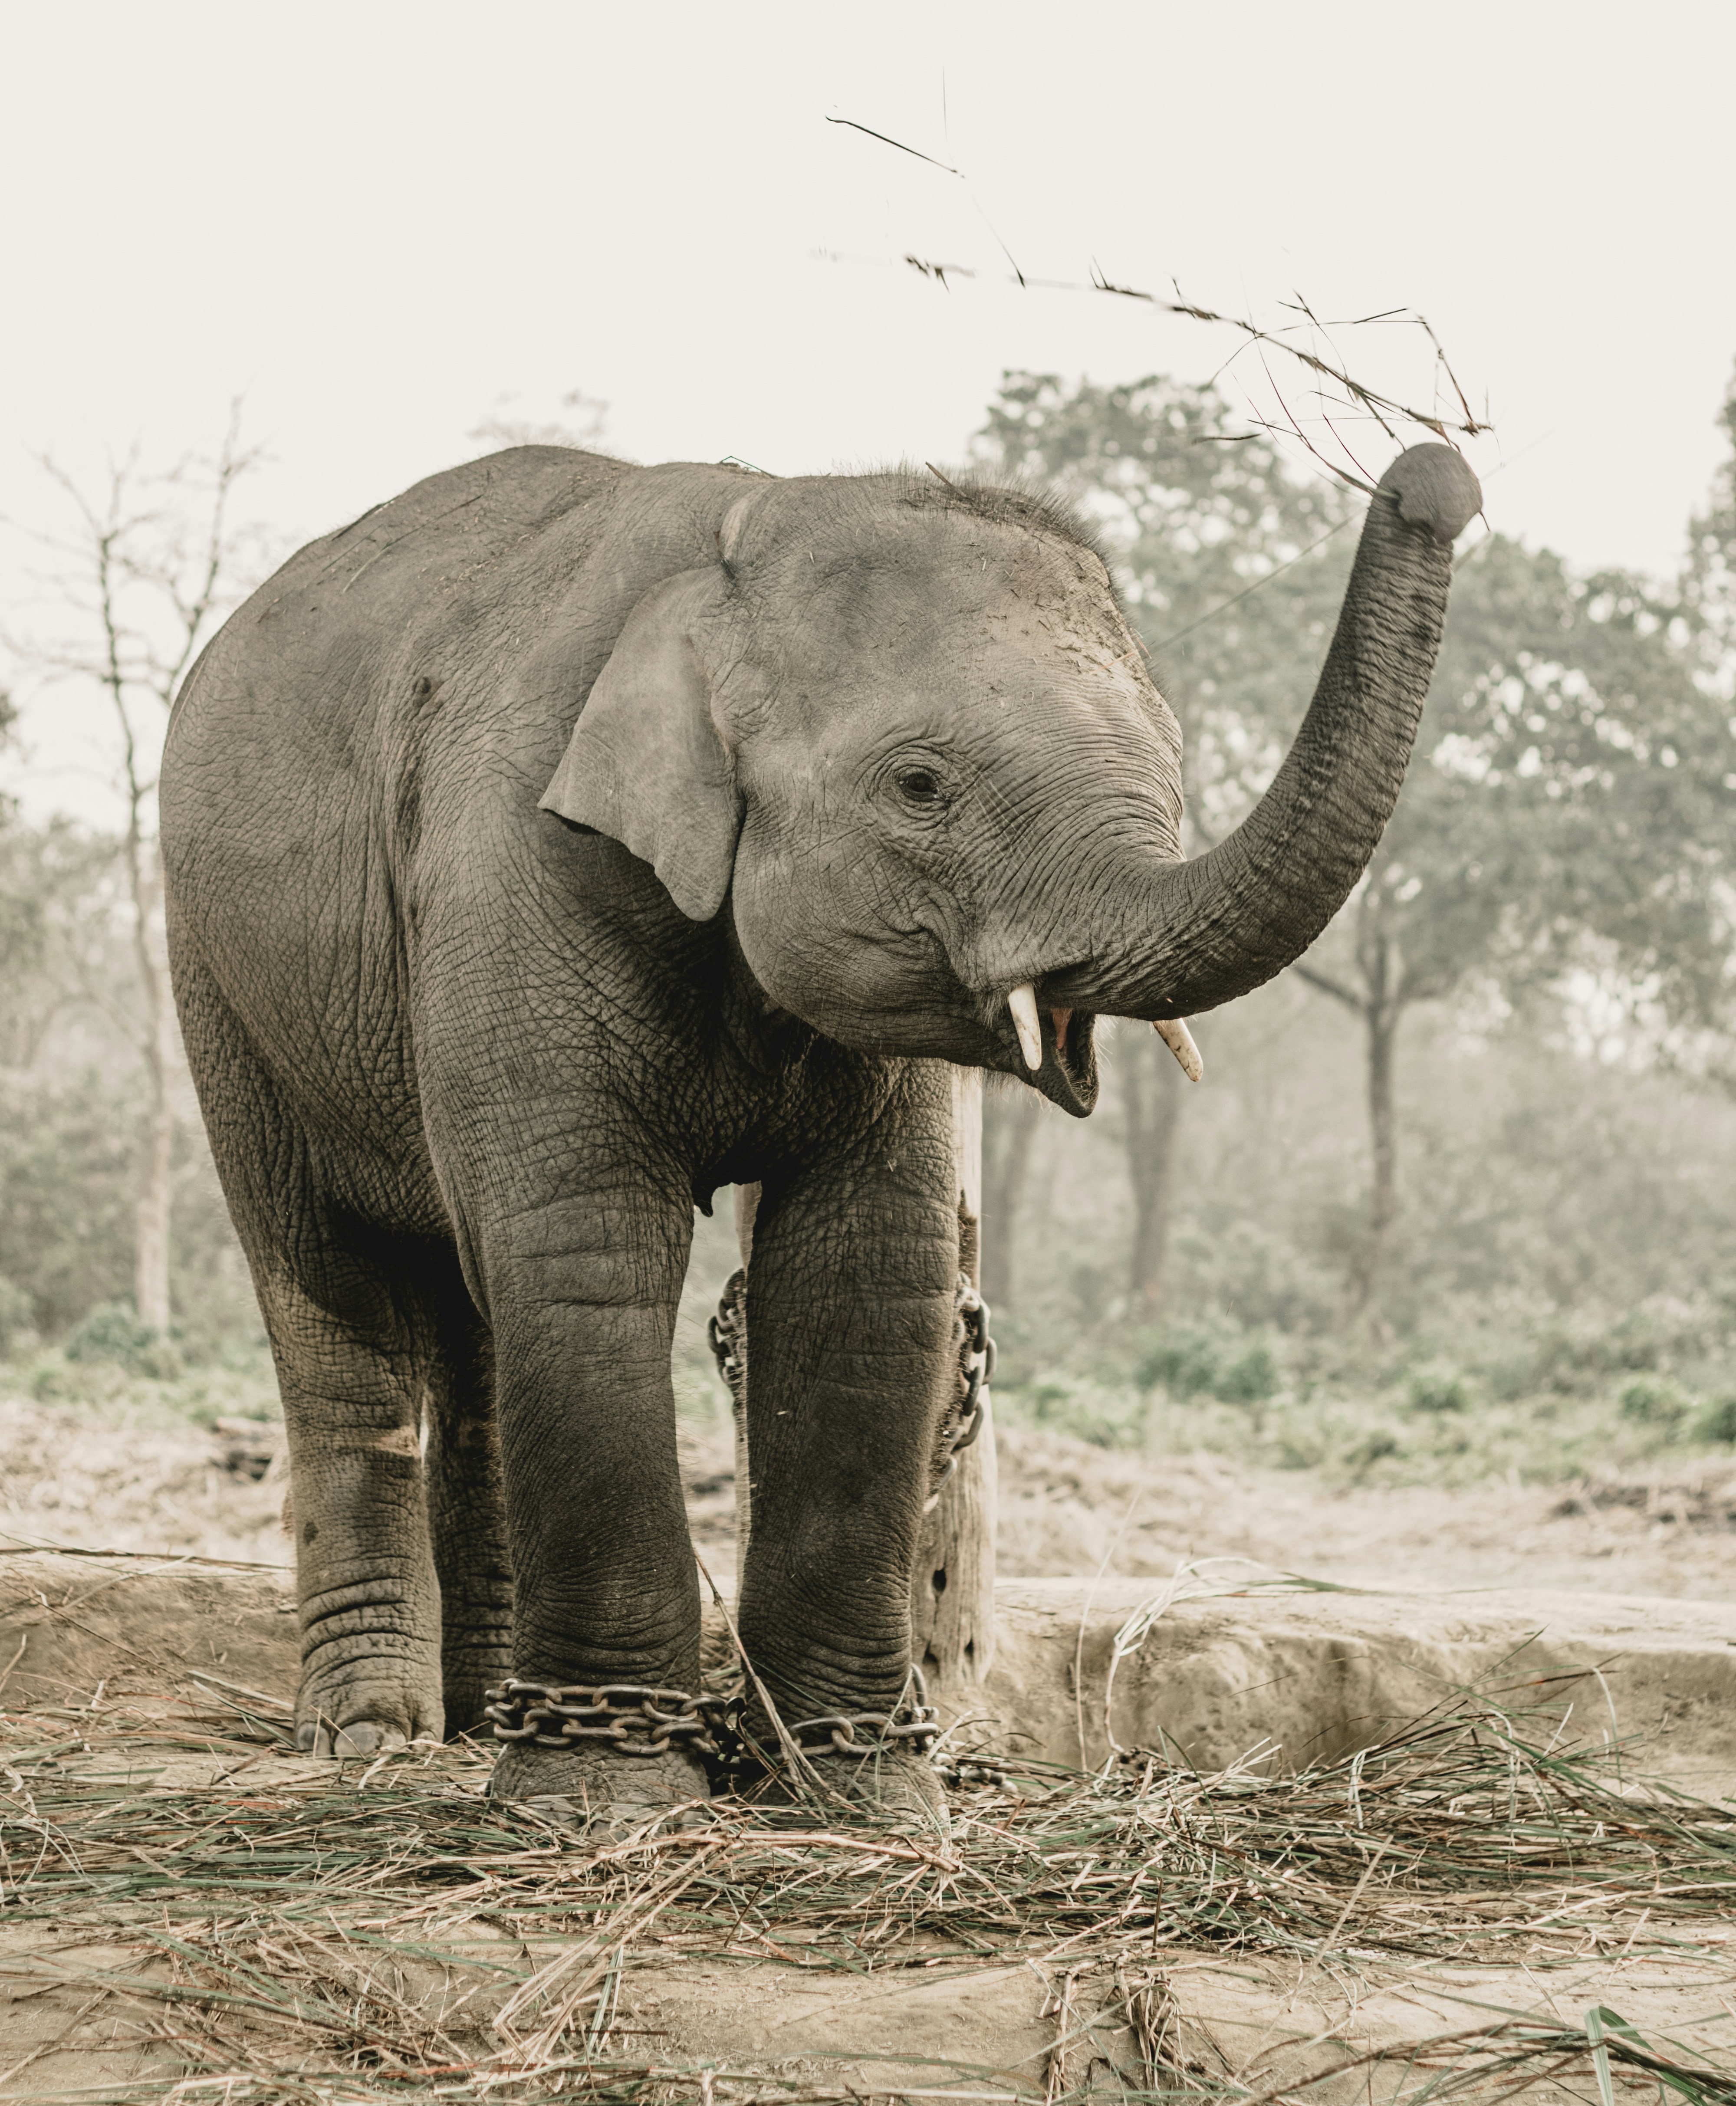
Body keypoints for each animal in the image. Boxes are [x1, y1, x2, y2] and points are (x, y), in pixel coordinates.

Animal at [160, 437, 1479, 1827]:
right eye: (920, 786)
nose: (1435, 478)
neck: (755, 525)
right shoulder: (511, 864)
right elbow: (588, 1249)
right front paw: (608, 1800)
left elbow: (868, 1271)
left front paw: (856, 1794)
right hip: (220, 980)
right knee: (335, 1293)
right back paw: (372, 1735)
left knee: (473, 1326)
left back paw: (477, 1722)